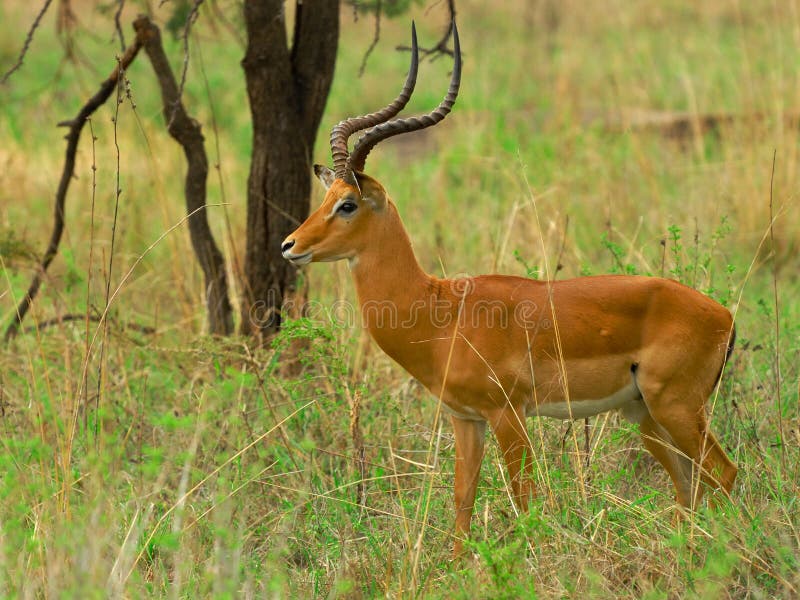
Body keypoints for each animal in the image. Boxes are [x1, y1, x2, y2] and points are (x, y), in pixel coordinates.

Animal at [282, 23, 737, 556]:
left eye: (348, 204)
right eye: (326, 198)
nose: (290, 245)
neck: (440, 310)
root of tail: (723, 315)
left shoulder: (508, 414)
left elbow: (525, 500)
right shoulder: (465, 418)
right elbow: (462, 499)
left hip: (676, 407)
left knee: (724, 474)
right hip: (644, 414)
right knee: (689, 487)